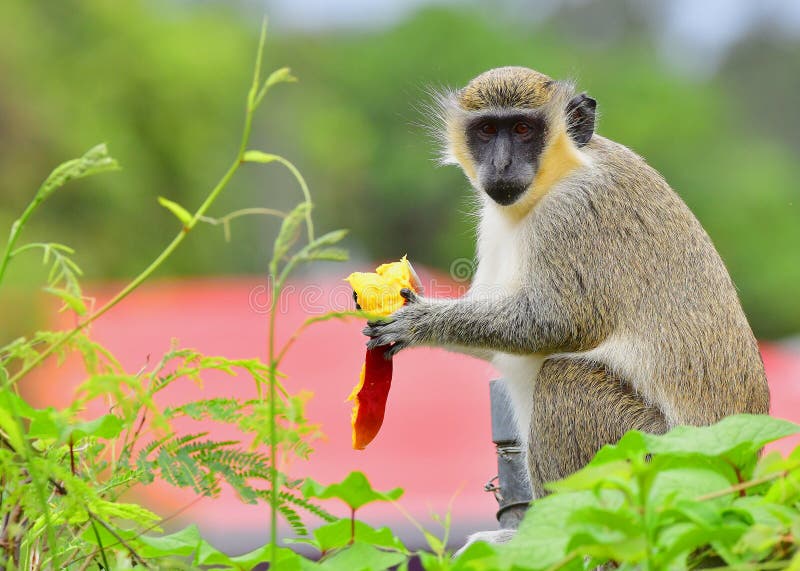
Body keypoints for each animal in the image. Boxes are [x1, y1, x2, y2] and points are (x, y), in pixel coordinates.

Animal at [363, 66, 770, 537]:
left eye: (523, 129)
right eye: (487, 130)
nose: (501, 164)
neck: (561, 172)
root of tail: (742, 476)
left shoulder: (574, 212)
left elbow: (559, 322)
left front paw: (420, 320)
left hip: (658, 462)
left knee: (565, 378)